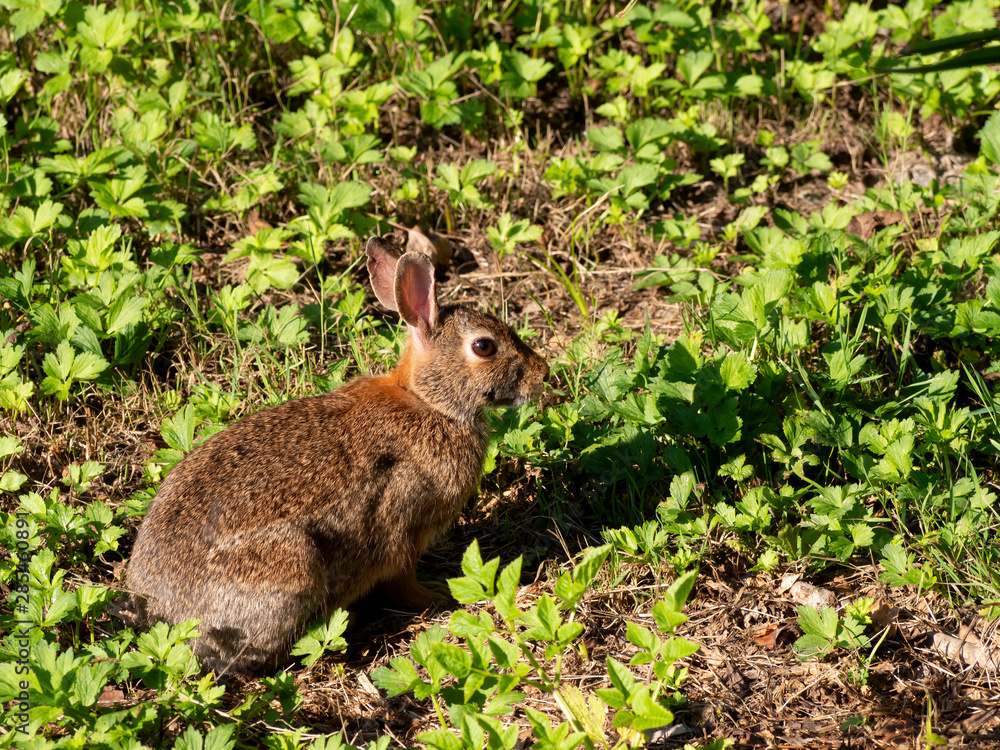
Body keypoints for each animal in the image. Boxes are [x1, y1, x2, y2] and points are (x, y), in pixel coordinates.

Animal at [126, 235, 549, 675]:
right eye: (484, 346)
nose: (544, 373)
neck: (430, 402)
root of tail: (163, 614)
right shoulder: (403, 524)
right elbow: (402, 578)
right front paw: (435, 596)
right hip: (294, 566)